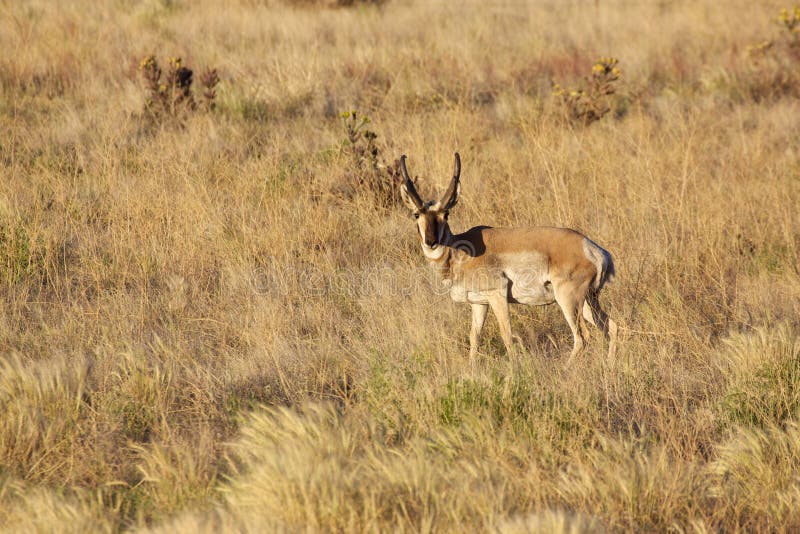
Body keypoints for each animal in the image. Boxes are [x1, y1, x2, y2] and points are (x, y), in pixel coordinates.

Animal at [400, 152, 618, 362]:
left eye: (446, 214)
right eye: (416, 214)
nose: (431, 241)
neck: (459, 251)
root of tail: (591, 248)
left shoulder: (497, 295)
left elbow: (507, 336)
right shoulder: (479, 303)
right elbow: (474, 337)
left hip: (568, 301)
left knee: (582, 337)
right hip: (588, 302)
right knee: (611, 326)